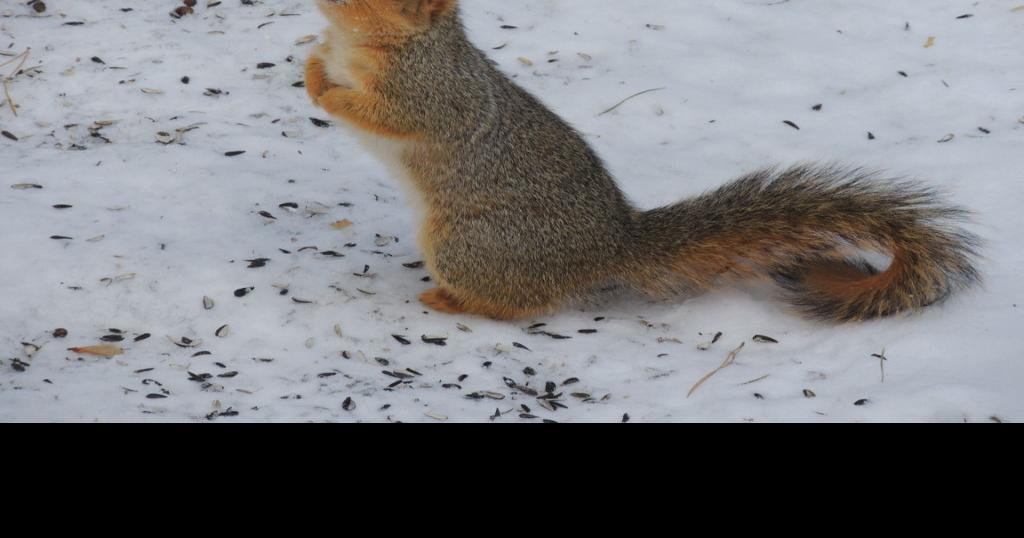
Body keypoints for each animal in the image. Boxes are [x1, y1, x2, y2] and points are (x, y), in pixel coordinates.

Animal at [305, 0, 980, 322]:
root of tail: (612, 248)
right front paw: (311, 70)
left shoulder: (432, 94)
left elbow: (392, 116)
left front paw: (329, 95)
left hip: (472, 243)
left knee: (520, 304)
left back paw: (455, 303)